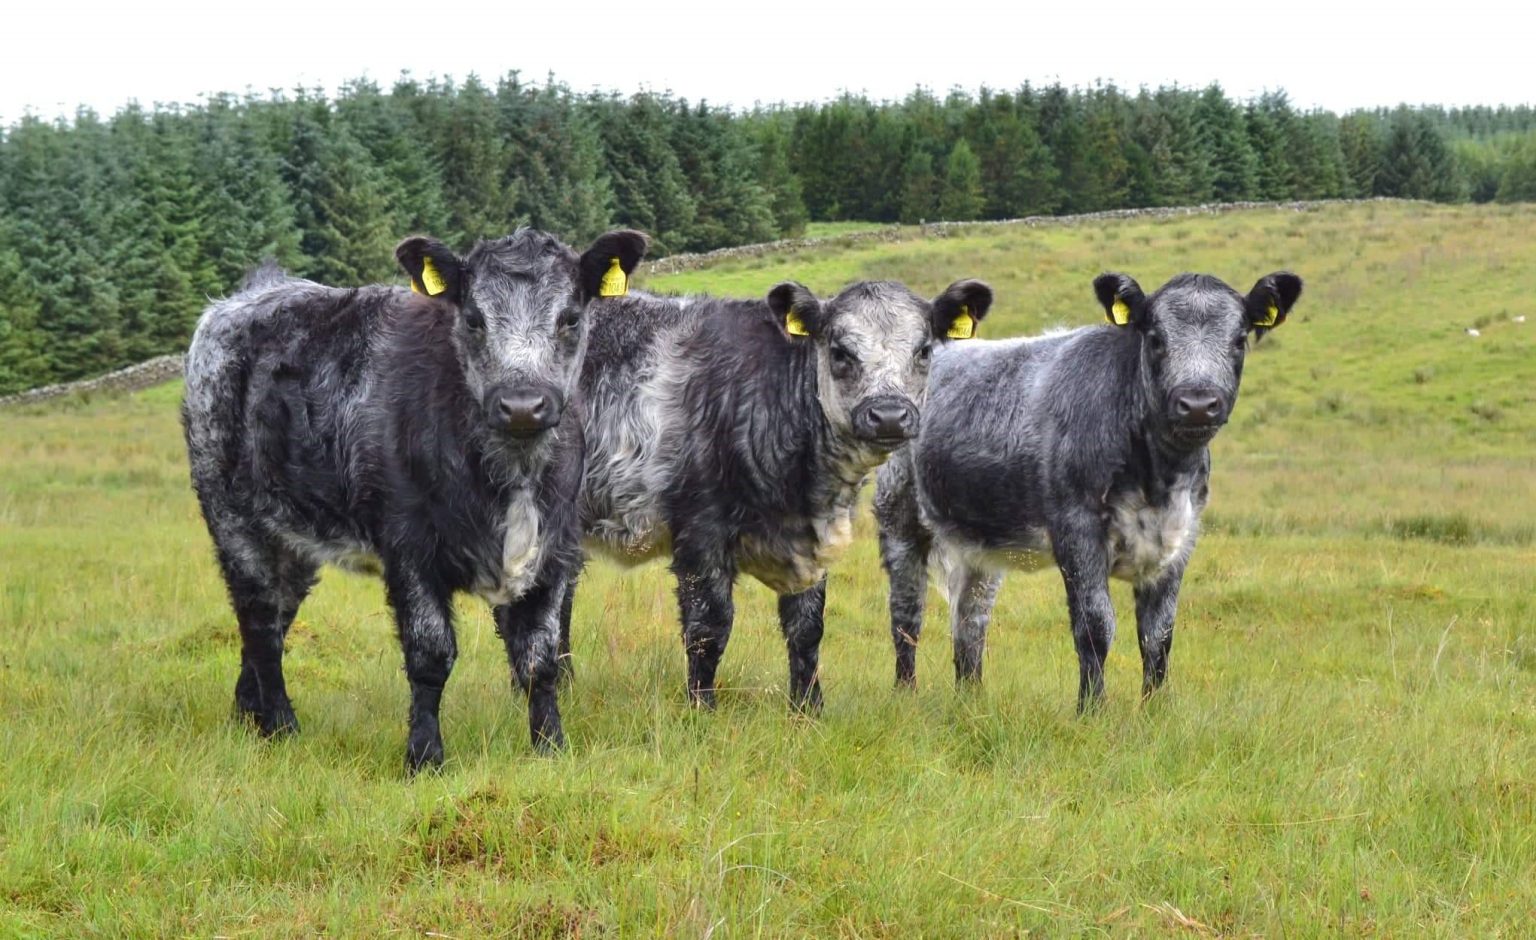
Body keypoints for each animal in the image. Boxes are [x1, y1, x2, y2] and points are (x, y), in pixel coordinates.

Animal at [182, 227, 648, 771]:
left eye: (570, 317)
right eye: (473, 319)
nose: (521, 406)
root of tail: (256, 292)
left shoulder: (555, 552)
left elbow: (540, 659)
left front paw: (551, 747)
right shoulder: (409, 551)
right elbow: (431, 656)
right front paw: (424, 756)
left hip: (294, 538)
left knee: (276, 614)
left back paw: (247, 715)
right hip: (233, 517)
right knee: (259, 619)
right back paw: (280, 726)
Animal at [568, 277, 994, 710]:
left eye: (923, 351)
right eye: (840, 353)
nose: (889, 415)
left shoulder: (813, 541)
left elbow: (806, 626)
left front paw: (808, 707)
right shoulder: (700, 531)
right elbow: (708, 626)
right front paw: (702, 708)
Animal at [874, 270, 1302, 709]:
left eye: (1239, 339)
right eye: (1155, 338)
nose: (1198, 404)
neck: (1158, 478)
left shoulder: (1179, 538)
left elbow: (1158, 635)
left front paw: (1154, 710)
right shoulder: (1076, 529)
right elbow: (1095, 626)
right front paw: (1092, 710)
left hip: (980, 542)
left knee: (970, 621)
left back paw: (971, 699)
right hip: (900, 518)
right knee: (906, 613)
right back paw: (905, 693)